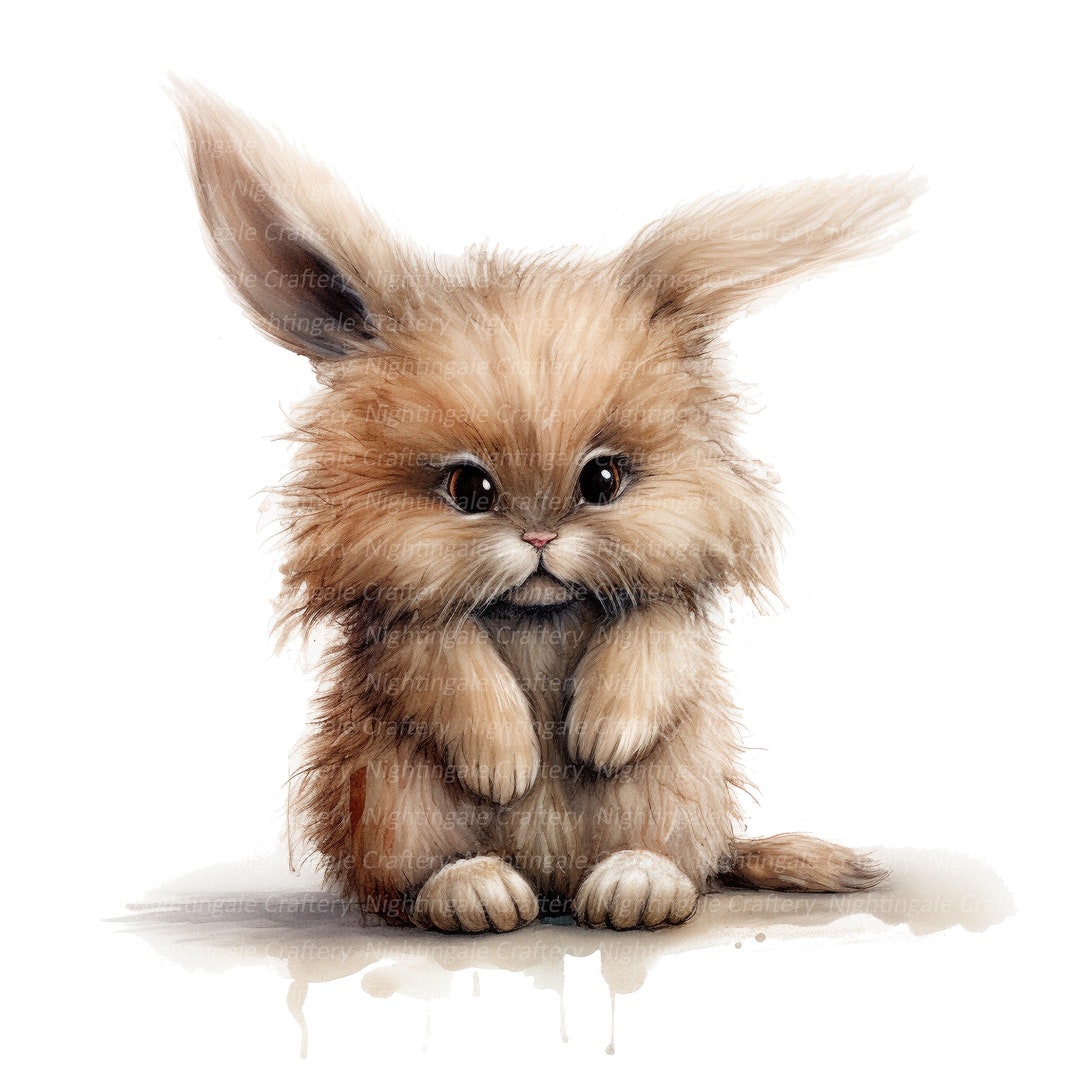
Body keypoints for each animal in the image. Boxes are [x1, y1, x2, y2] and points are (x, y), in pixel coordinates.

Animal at [173, 81, 918, 932]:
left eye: (603, 481)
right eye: (469, 490)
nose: (538, 538)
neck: (539, 610)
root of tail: (553, 882)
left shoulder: (671, 607)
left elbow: (655, 640)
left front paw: (599, 738)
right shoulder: (397, 629)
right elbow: (445, 662)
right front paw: (508, 766)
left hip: (678, 789)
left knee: (675, 859)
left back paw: (634, 887)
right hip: (388, 796)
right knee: (411, 884)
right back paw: (478, 893)